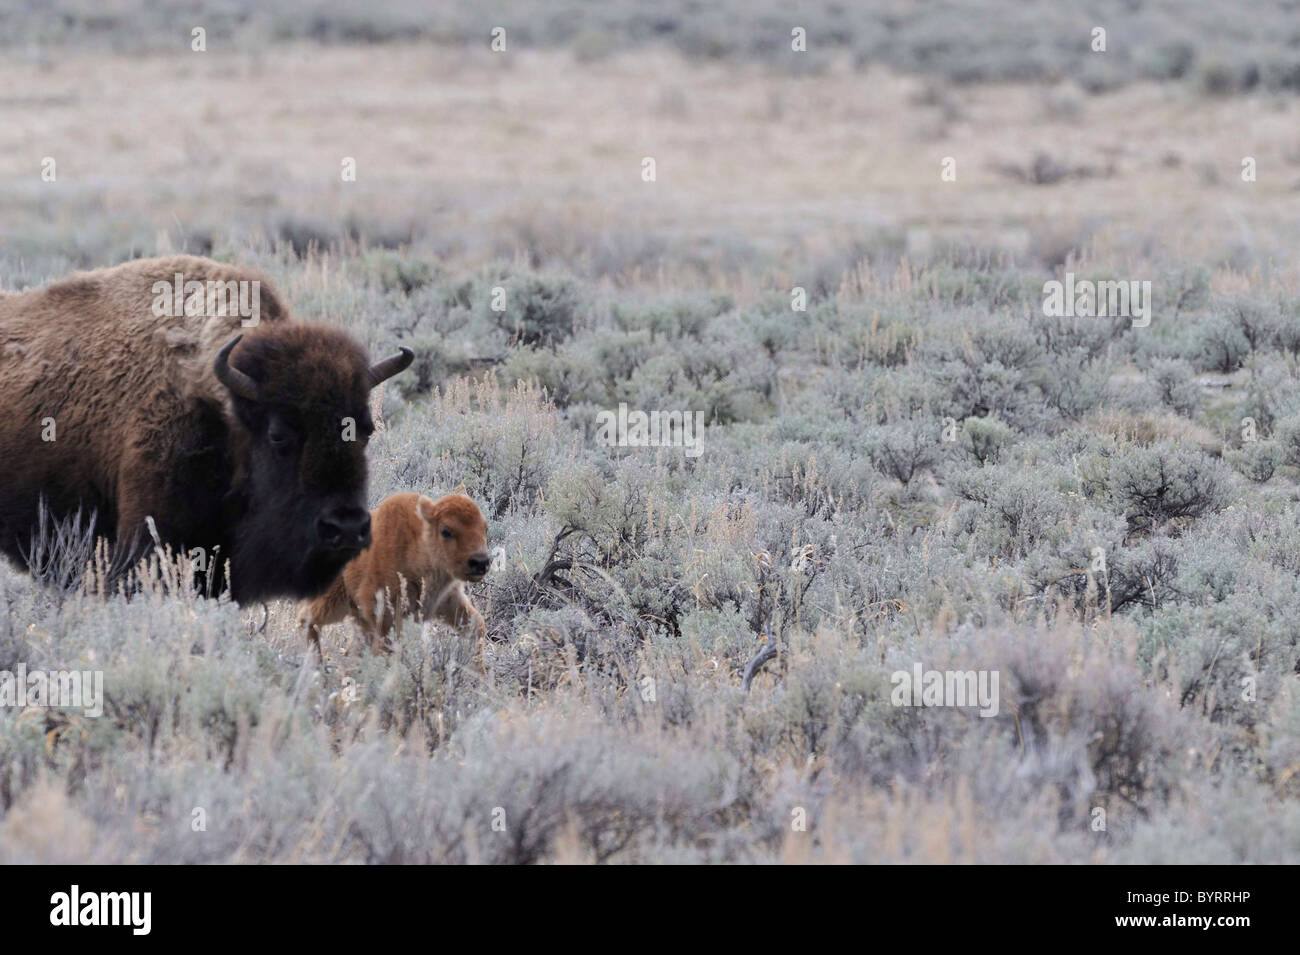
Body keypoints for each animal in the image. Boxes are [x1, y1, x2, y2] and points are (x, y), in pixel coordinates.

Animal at [299, 492, 490, 654]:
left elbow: (477, 626)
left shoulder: (448, 600)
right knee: (308, 619)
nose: (480, 562)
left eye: (485, 528)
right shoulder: (381, 611)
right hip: (335, 600)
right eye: (446, 531)